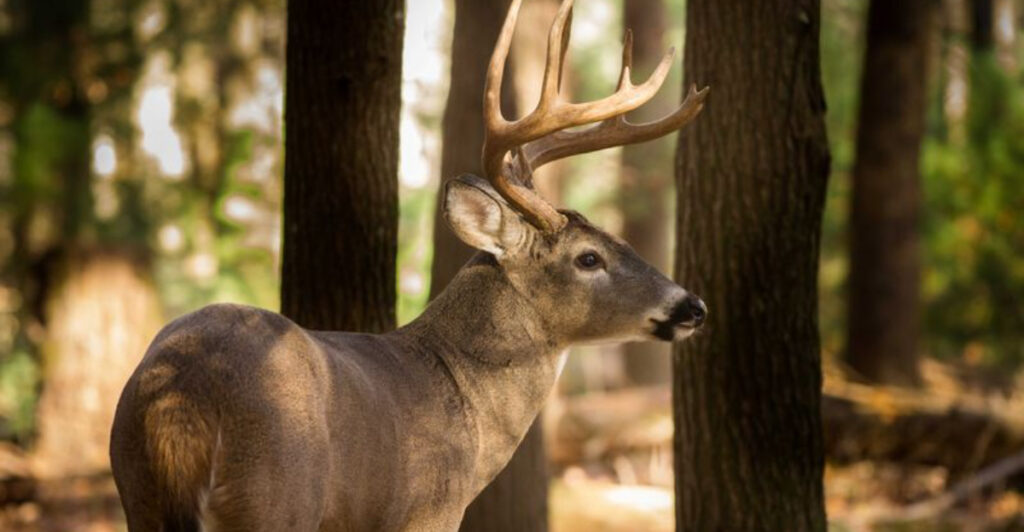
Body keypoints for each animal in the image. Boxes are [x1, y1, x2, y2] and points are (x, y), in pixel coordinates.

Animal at [109, 0, 708, 530]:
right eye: (589, 257)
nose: (694, 305)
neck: (462, 395)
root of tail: (182, 394)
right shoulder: (429, 511)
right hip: (274, 494)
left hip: (138, 491)